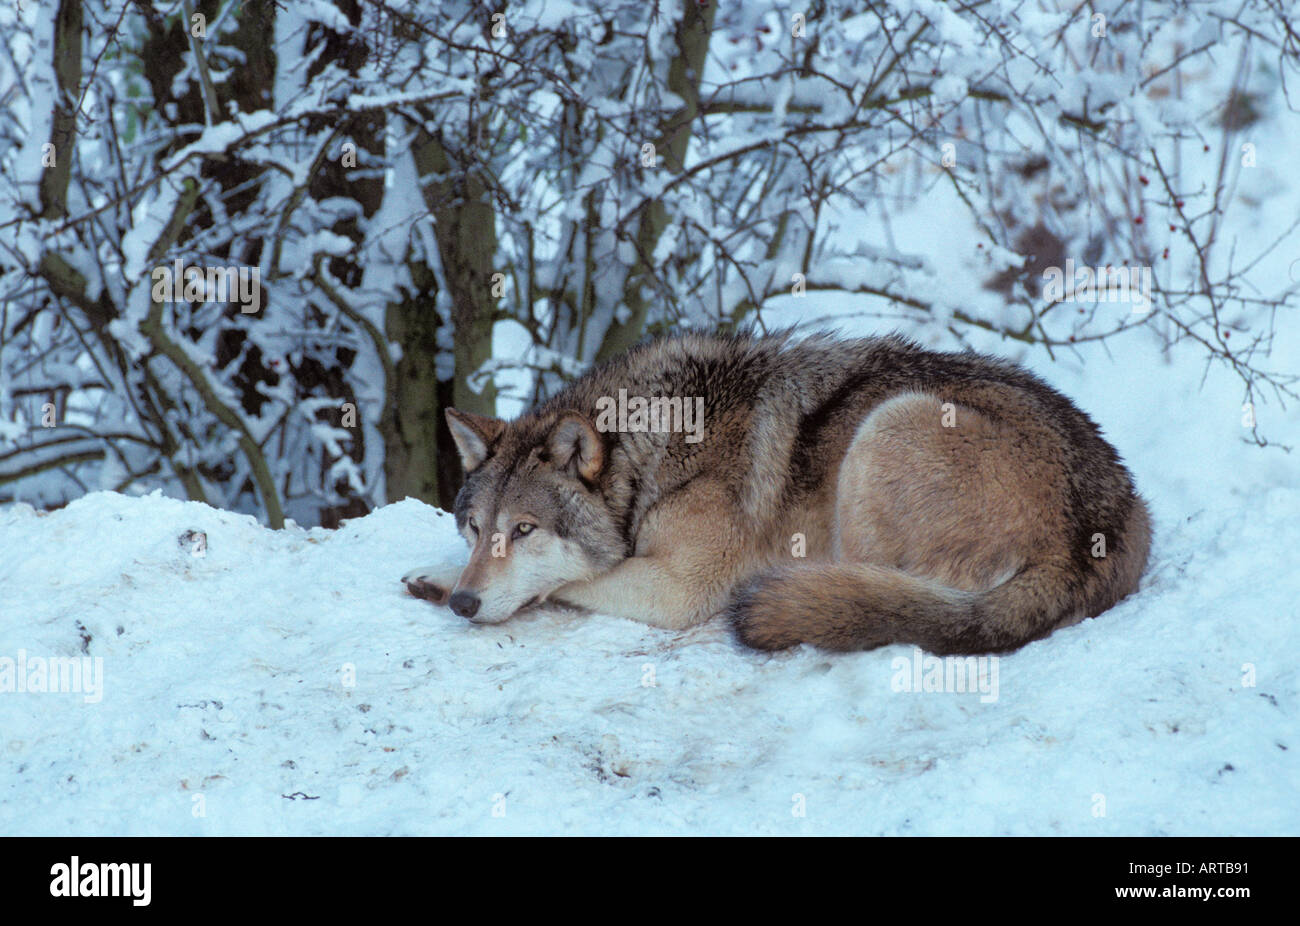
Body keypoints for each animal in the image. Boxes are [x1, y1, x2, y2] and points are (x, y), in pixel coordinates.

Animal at [402, 330, 1150, 654]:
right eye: (476, 529)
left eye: (525, 530)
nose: (465, 603)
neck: (655, 458)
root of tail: (1097, 530)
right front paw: (437, 577)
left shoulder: (680, 589)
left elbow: (567, 582)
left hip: (889, 425)